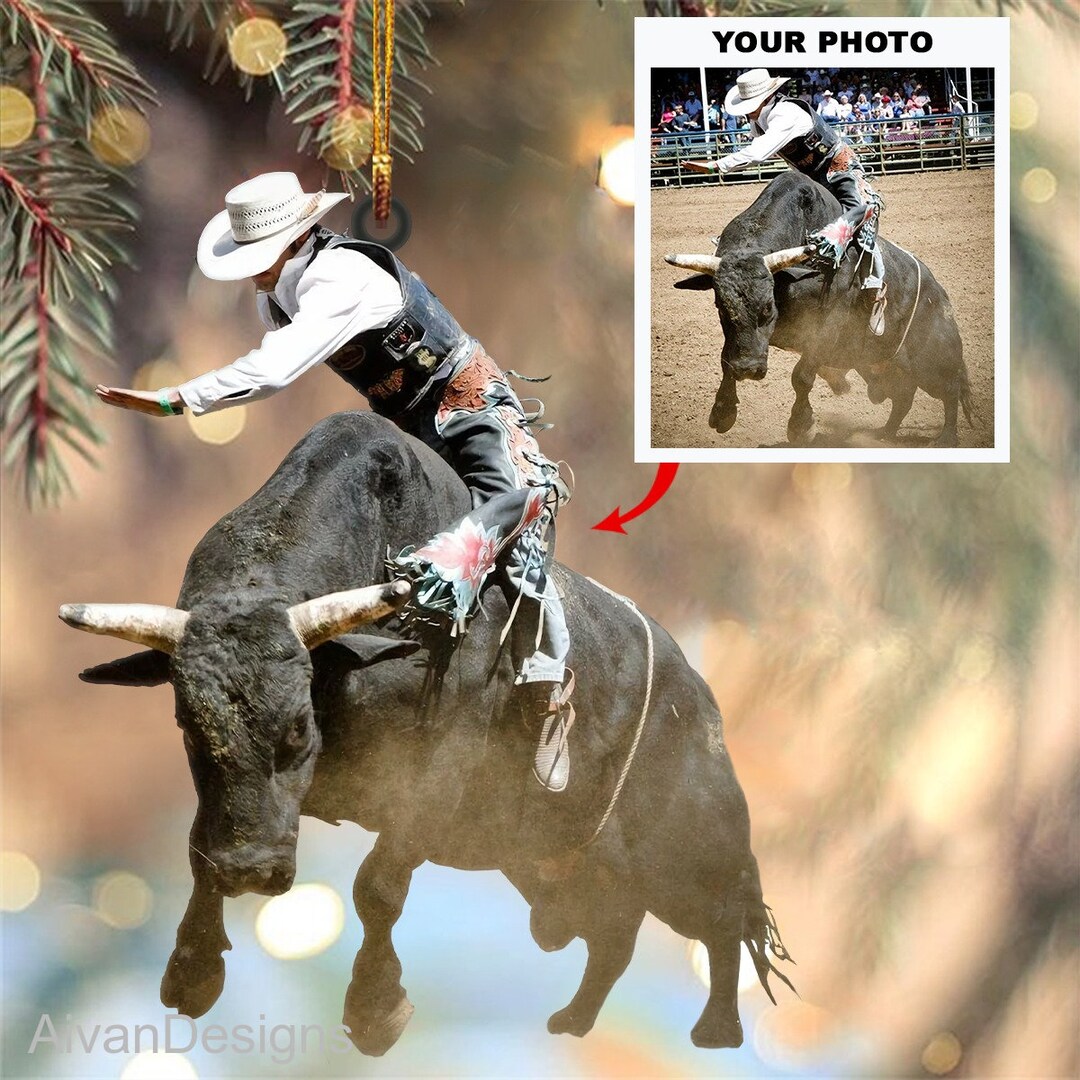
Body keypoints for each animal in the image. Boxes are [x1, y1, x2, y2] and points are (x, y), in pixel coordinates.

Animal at [59, 411, 792, 1053]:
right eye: (188, 726)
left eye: (297, 728)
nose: (250, 870)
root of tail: (700, 697)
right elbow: (199, 846)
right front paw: (193, 970)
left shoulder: (434, 779)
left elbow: (378, 887)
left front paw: (375, 1008)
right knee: (617, 932)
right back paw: (573, 1021)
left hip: (693, 853)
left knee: (726, 923)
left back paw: (716, 1031)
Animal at [665, 171, 974, 447]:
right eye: (720, 307)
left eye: (768, 308)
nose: (748, 369)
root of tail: (940, 294)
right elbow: (725, 358)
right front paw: (723, 411)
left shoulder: (826, 328)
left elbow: (802, 376)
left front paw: (801, 426)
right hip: (888, 365)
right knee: (904, 397)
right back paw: (884, 434)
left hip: (934, 362)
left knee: (951, 390)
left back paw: (945, 439)